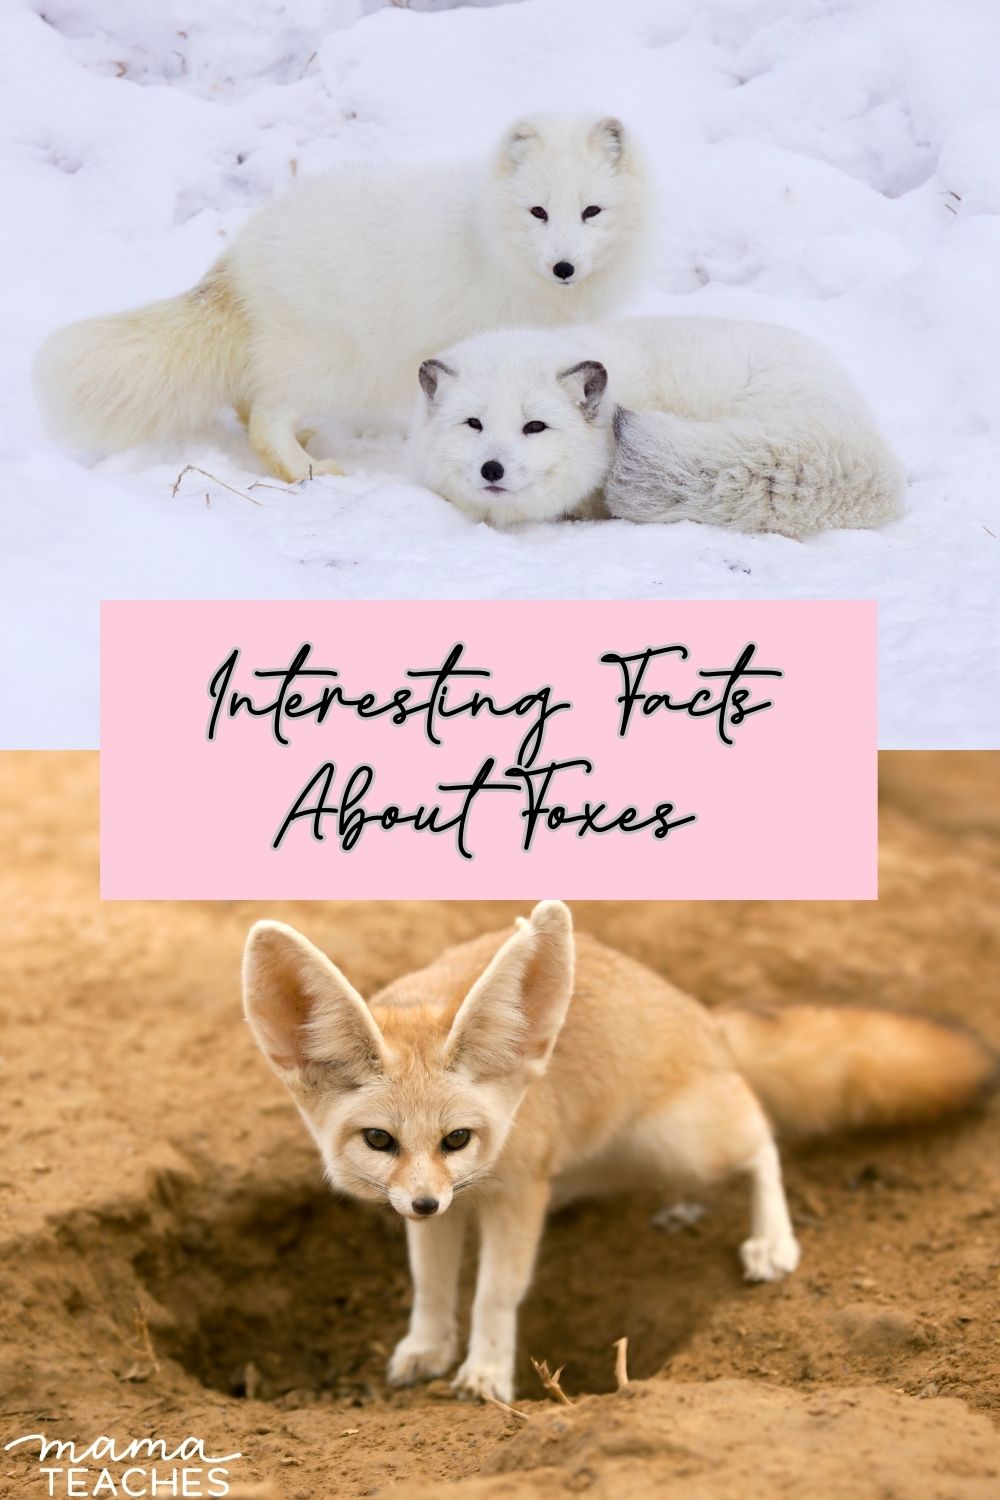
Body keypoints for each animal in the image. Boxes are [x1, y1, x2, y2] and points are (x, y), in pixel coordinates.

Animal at [34, 114, 649, 483]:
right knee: (264, 418)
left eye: (591, 211)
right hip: (333, 363)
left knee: (249, 402)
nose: (564, 267)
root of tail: (240, 256)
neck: (491, 239)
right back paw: (307, 471)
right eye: (538, 212)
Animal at [241, 901, 996, 1403]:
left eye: (457, 1139)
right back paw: (682, 1208)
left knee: (760, 1136)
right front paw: (426, 1348)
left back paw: (771, 1240)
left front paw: (486, 1371)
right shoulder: (446, 1209)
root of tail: (702, 1015)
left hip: (684, 1140)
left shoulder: (514, 1194)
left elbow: (495, 1293)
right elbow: (431, 1285)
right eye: (380, 1140)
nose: (425, 1201)